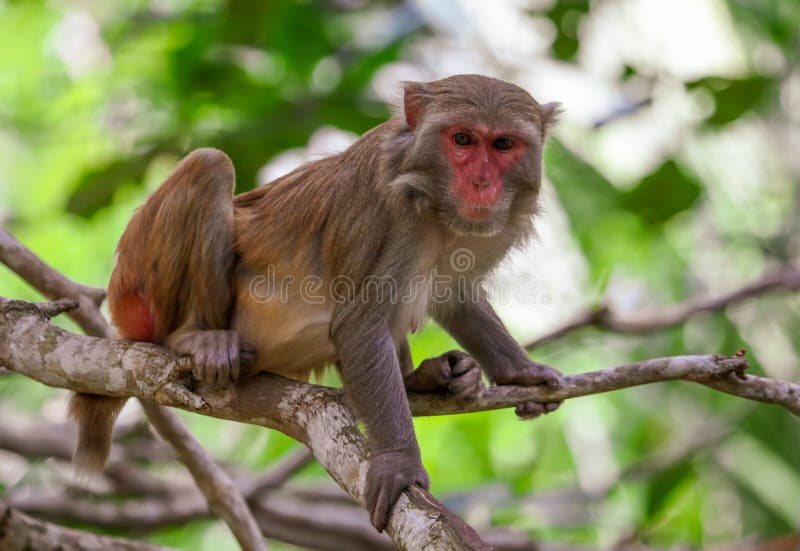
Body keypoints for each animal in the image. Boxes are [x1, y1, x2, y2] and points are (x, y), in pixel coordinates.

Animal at [69, 74, 562, 532]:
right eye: (462, 139)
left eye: (503, 144)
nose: (481, 183)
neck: (436, 206)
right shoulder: (388, 214)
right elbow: (359, 325)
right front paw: (400, 460)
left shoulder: (490, 230)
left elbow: (456, 297)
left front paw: (519, 370)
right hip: (136, 287)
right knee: (210, 167)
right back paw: (192, 338)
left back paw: (426, 379)